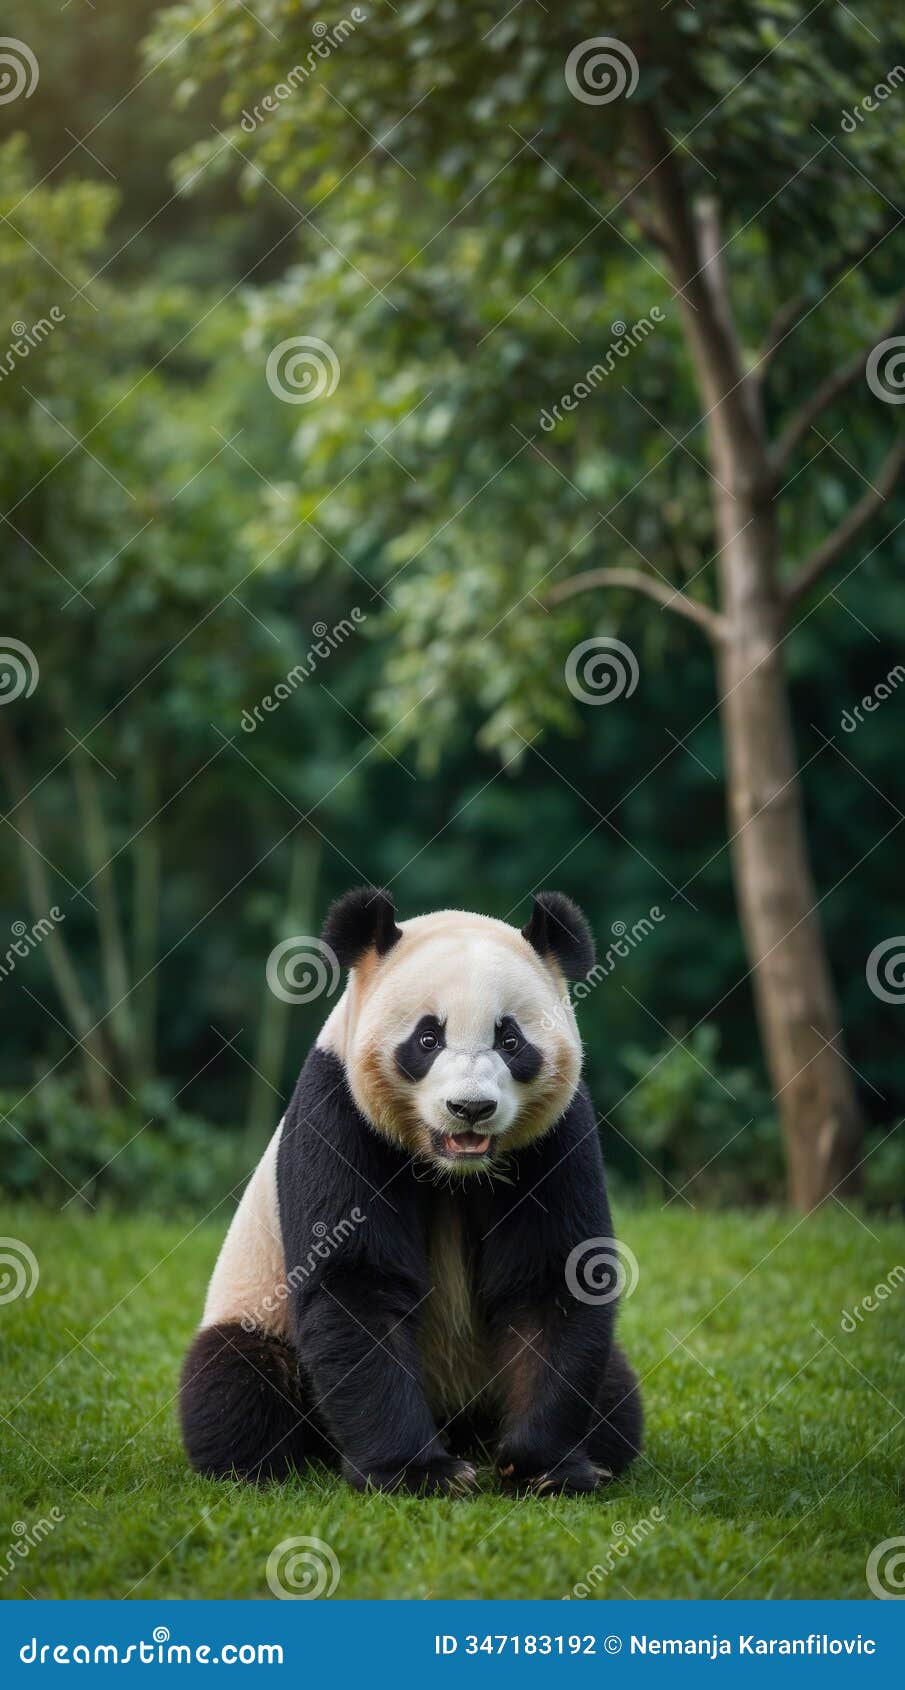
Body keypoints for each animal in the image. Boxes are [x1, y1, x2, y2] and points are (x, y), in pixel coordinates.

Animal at [180, 887, 642, 1496]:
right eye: (428, 1038)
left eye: (510, 1040)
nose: (471, 1108)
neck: (450, 1170)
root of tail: (460, 1420)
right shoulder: (340, 1110)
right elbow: (357, 1282)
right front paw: (418, 1473)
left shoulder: (555, 1138)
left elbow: (555, 1276)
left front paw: (544, 1469)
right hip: (256, 1310)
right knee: (233, 1382)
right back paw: (273, 1464)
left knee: (616, 1394)